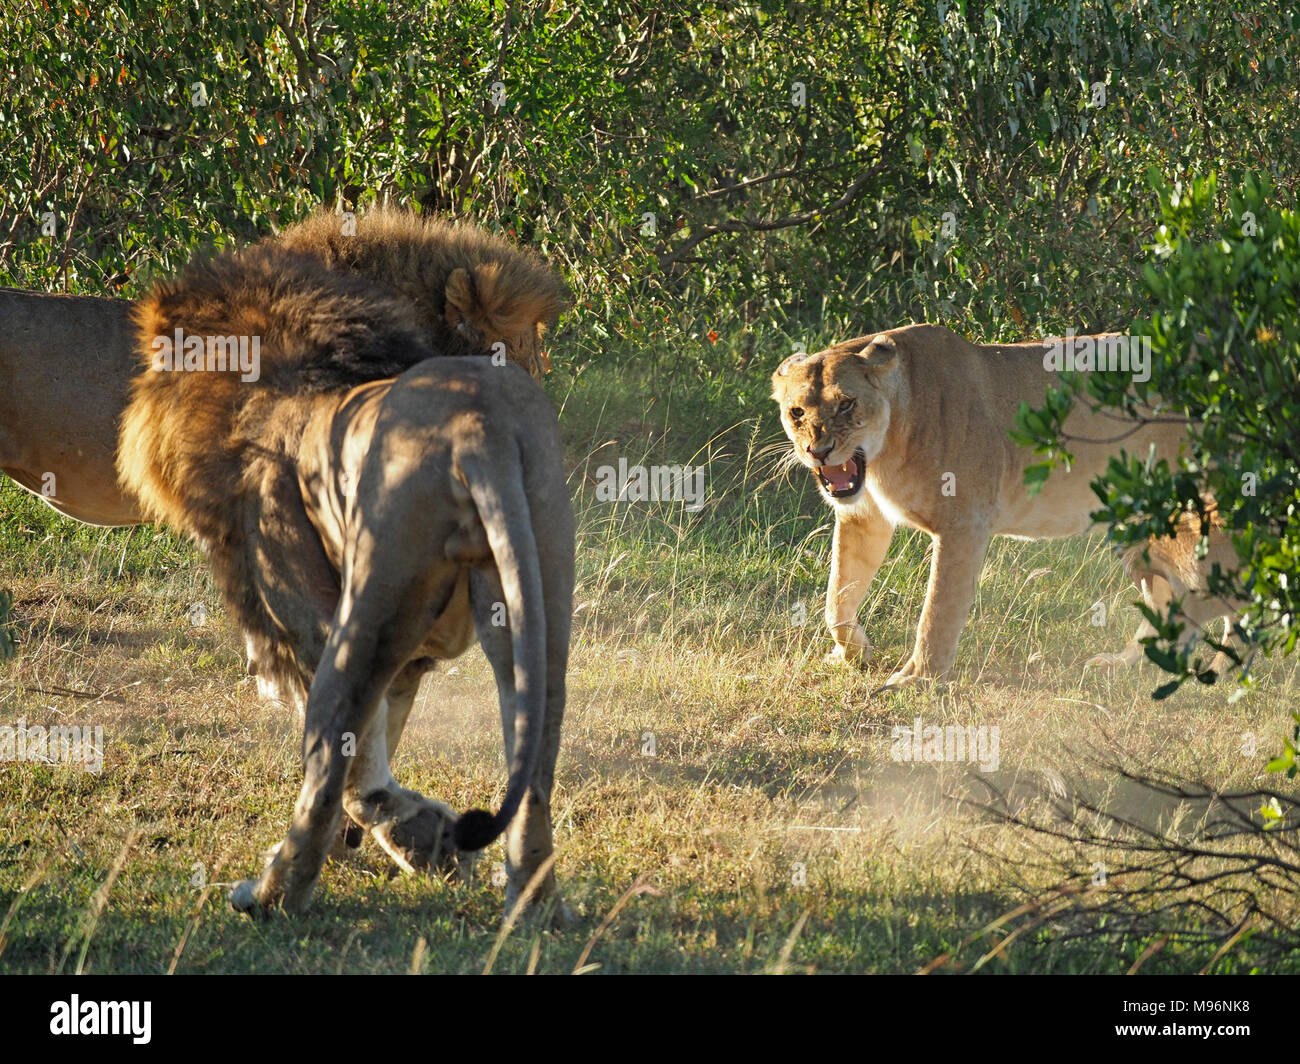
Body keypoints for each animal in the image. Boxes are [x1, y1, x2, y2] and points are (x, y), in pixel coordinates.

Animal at [117, 242, 573, 919]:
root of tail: (477, 426)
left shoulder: (301, 615)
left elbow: (357, 758)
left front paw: (405, 836)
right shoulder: (410, 658)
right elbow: (384, 737)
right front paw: (413, 835)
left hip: (360, 615)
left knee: (330, 750)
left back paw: (271, 894)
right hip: (535, 608)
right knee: (536, 758)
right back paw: (531, 903)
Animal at [772, 324, 1238, 686]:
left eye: (846, 403)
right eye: (797, 412)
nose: (818, 451)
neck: (885, 450)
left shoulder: (964, 524)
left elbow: (938, 611)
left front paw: (918, 679)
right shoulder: (862, 516)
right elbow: (837, 599)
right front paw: (853, 655)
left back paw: (1223, 672)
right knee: (1167, 602)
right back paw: (1121, 667)